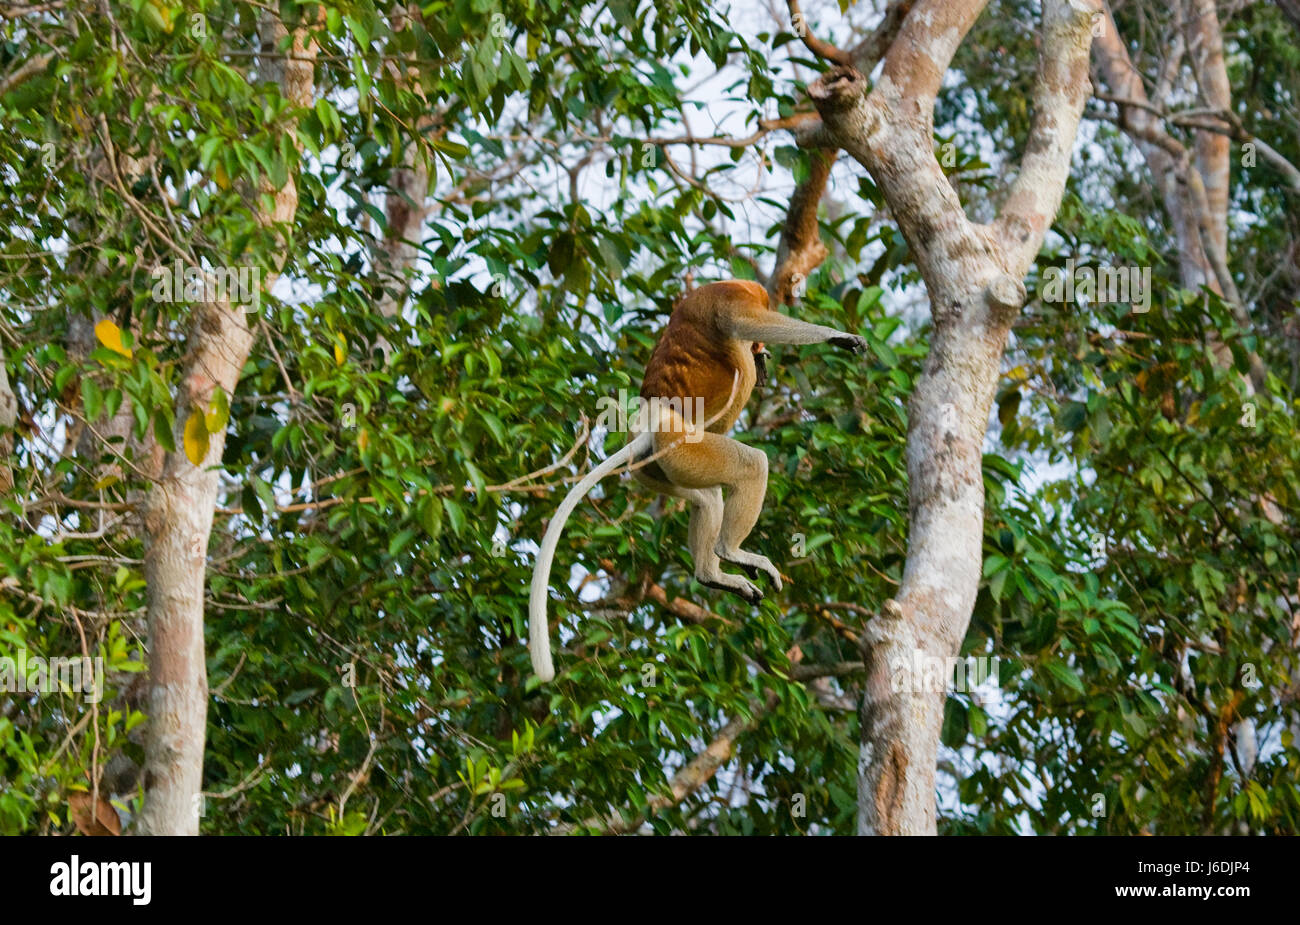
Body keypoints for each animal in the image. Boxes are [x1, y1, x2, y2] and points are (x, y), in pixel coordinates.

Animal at [528, 279, 867, 682]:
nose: (761, 356)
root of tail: (652, 423)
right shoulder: (731, 301)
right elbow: (747, 321)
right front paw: (839, 336)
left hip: (657, 468)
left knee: (706, 498)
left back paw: (711, 575)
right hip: (682, 445)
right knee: (752, 465)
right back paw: (732, 552)